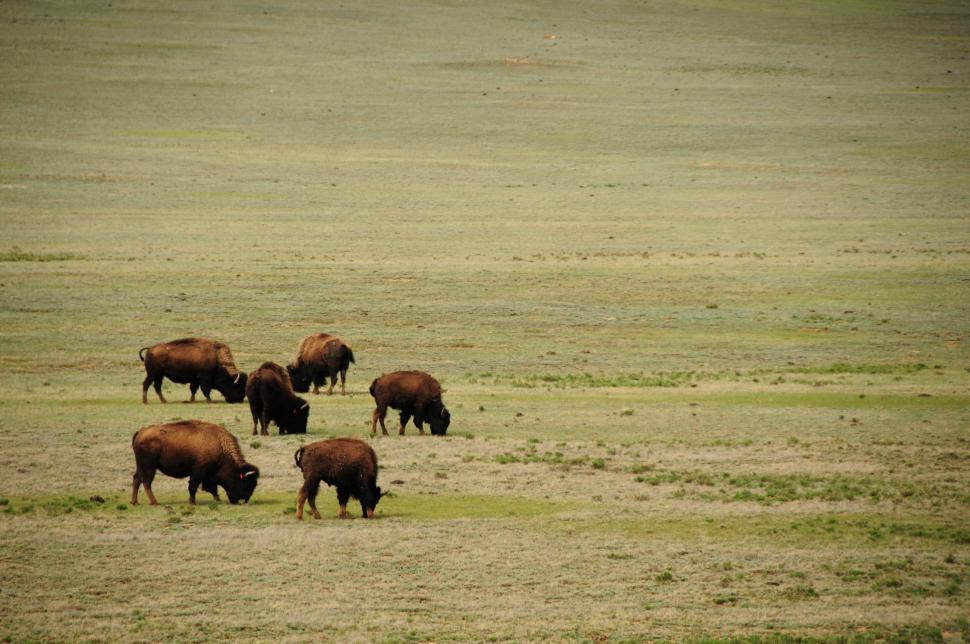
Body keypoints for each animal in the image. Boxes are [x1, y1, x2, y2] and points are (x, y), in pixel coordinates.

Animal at [130, 420, 259, 505]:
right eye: (245, 484)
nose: (243, 501)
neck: (220, 446)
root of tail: (141, 431)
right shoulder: (198, 471)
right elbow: (193, 486)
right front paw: (192, 502)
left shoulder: (208, 474)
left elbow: (212, 488)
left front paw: (217, 499)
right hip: (149, 467)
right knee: (146, 482)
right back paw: (154, 502)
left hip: (141, 466)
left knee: (137, 479)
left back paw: (134, 502)